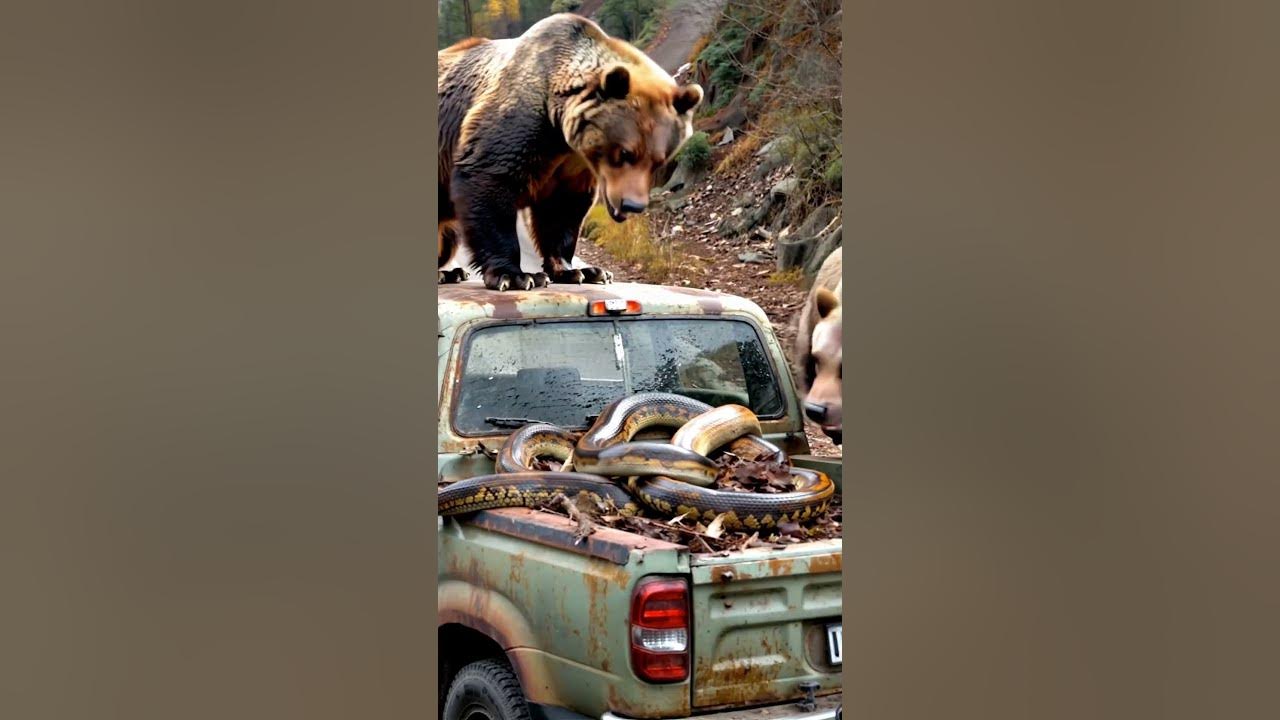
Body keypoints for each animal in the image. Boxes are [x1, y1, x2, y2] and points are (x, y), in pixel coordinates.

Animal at [438, 13, 703, 291]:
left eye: (658, 161)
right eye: (624, 153)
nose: (633, 204)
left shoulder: (571, 165)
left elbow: (562, 211)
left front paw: (581, 271)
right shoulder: (519, 124)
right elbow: (490, 180)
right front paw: (514, 275)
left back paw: (451, 271)